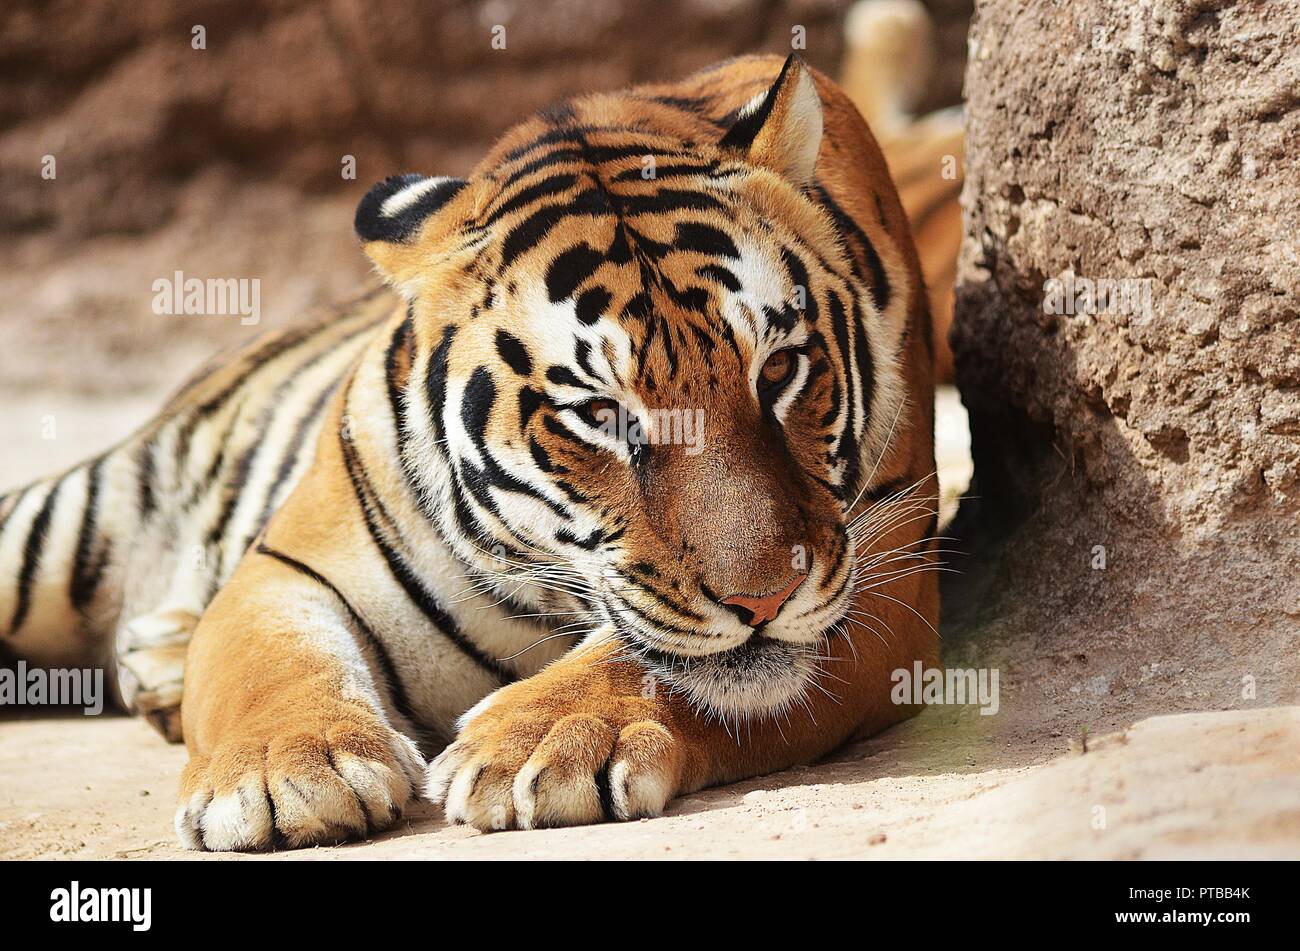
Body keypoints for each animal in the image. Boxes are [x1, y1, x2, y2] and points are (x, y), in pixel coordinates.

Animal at [0, 54, 940, 850]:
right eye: (600, 413)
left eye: (777, 368)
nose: (764, 598)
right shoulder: (290, 565)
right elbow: (269, 662)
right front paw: (283, 773)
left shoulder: (890, 561)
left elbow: (642, 659)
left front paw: (541, 738)